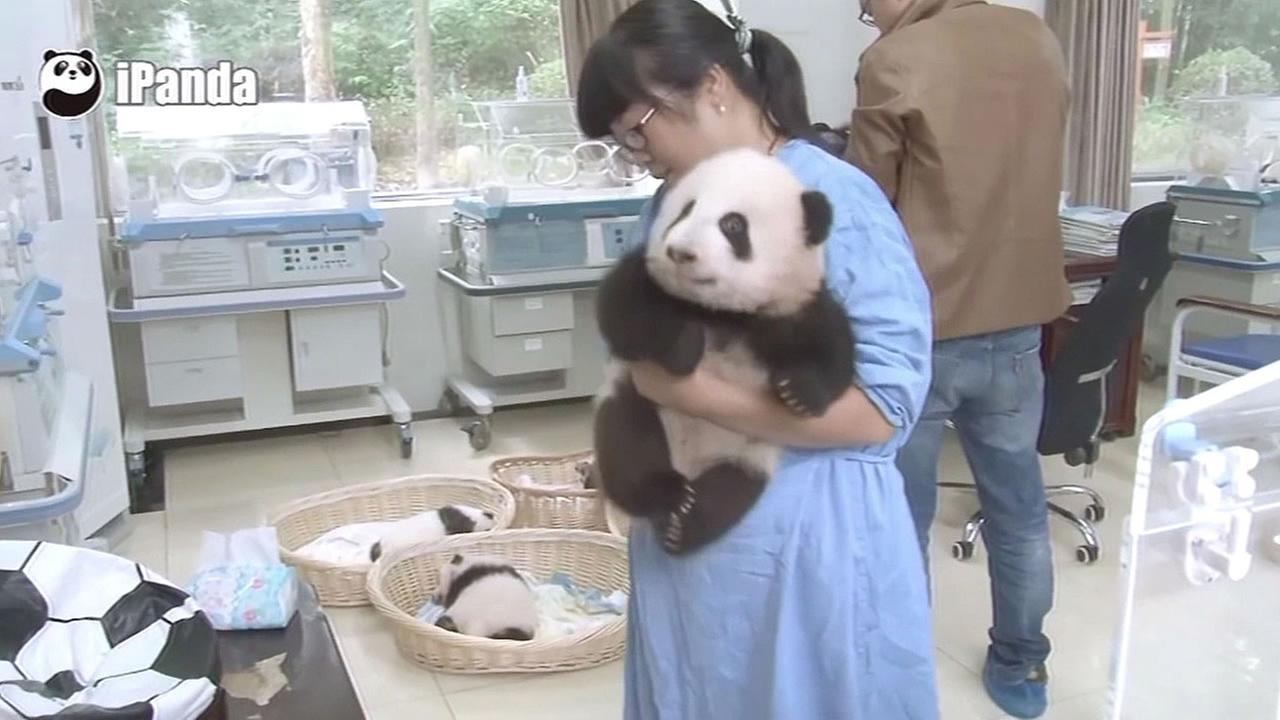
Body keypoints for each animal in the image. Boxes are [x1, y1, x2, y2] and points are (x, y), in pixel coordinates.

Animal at [592, 148, 855, 555]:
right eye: (685, 211)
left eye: (733, 225)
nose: (680, 252)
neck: (720, 311)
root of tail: (687, 464)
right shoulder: (647, 278)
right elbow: (623, 313)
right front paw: (683, 347)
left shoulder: (792, 305)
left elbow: (834, 350)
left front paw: (798, 392)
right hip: (633, 404)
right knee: (628, 449)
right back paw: (667, 496)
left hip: (748, 454)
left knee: (729, 493)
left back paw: (684, 525)